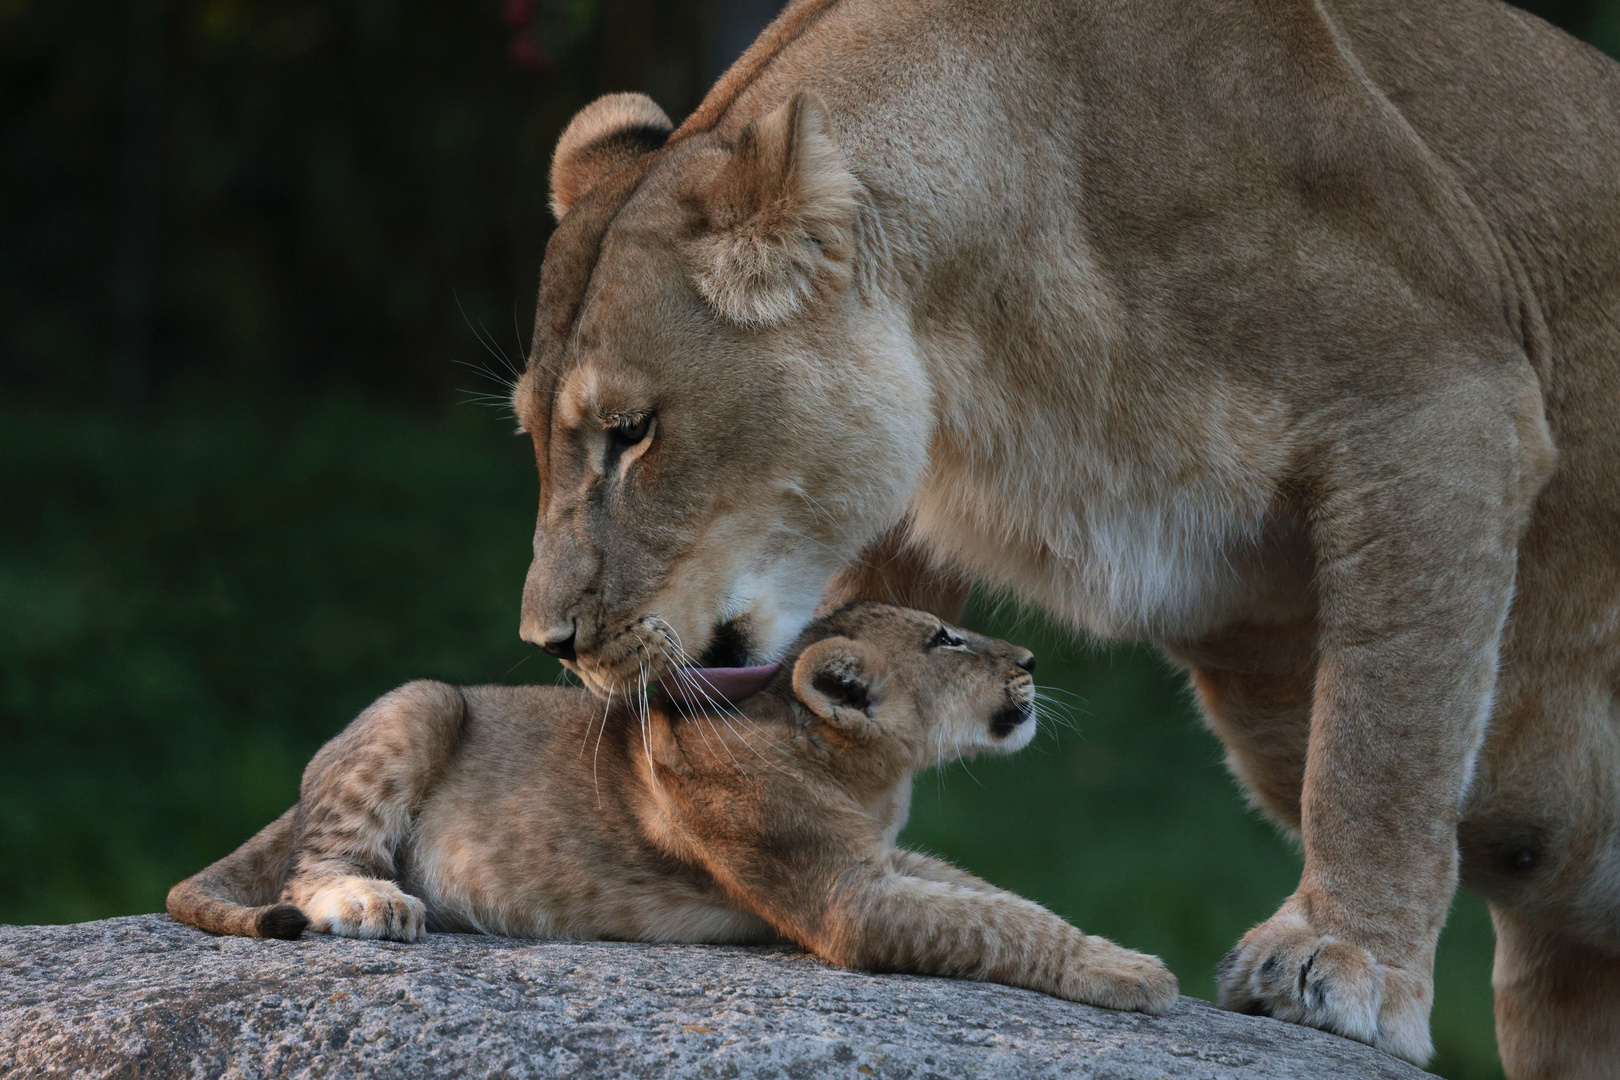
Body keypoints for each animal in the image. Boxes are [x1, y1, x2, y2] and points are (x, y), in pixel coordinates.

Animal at [166, 603, 1178, 1015]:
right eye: (944, 640)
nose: (1034, 662)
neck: (864, 773)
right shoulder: (845, 902)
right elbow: (998, 926)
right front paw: (1124, 972)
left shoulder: (884, 860)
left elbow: (1001, 898)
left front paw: (1111, 947)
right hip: (421, 702)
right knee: (311, 867)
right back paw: (369, 900)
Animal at [508, 0, 1620, 1074]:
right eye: (530, 433)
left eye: (631, 432)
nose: (551, 644)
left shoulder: (1444, 394)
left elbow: (1389, 722)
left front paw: (1341, 959)